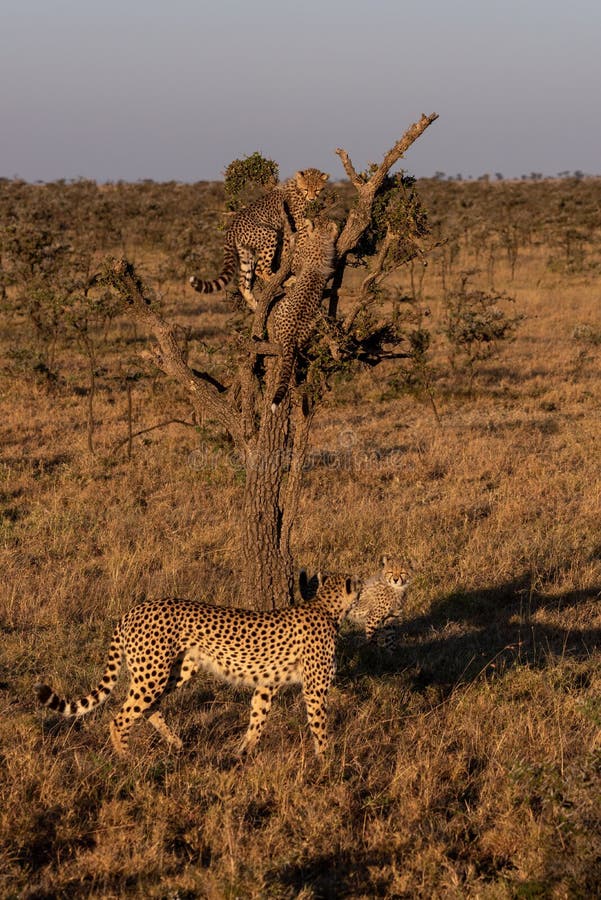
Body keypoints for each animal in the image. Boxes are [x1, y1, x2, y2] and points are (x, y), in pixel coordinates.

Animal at [34, 572, 360, 759]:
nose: (363, 586)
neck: (325, 607)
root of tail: (133, 610)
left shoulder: (267, 684)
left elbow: (257, 718)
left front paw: (241, 753)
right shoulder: (315, 688)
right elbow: (319, 723)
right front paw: (326, 760)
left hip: (176, 670)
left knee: (149, 708)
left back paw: (176, 743)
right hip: (152, 674)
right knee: (121, 717)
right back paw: (126, 760)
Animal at [189, 168, 329, 311]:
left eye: (317, 189)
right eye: (306, 189)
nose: (312, 198)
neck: (297, 187)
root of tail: (232, 227)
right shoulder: (296, 222)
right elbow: (305, 229)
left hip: (246, 252)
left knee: (243, 281)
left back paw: (253, 302)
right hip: (269, 235)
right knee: (260, 268)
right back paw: (283, 280)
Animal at [270, 216, 338, 410]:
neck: (320, 239)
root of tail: (290, 335)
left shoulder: (297, 263)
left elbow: (293, 264)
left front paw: (295, 238)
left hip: (280, 307)